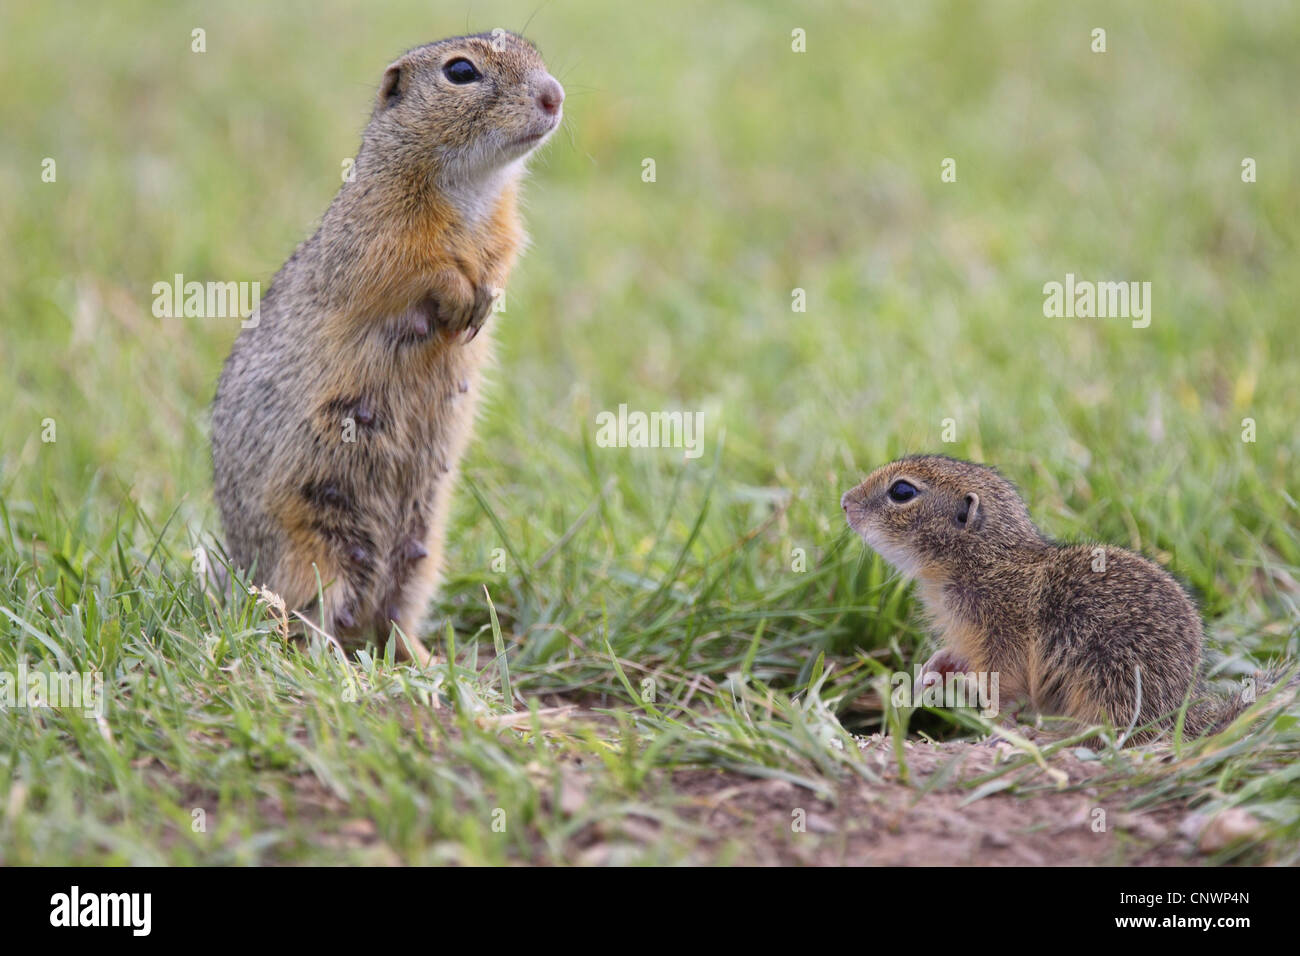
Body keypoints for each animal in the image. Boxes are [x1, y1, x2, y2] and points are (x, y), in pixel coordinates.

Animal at [211, 32, 564, 662]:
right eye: (461, 72)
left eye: (535, 50)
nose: (555, 96)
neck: (472, 187)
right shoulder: (380, 232)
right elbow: (417, 270)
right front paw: (459, 296)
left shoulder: (504, 229)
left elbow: (500, 259)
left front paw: (485, 300)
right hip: (314, 547)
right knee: (310, 618)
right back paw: (338, 664)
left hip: (420, 553)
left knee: (391, 620)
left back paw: (427, 660)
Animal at [842, 454, 1289, 742]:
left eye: (902, 491)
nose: (845, 501)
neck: (981, 563)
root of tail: (1184, 713)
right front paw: (935, 670)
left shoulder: (1002, 633)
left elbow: (1005, 687)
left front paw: (987, 712)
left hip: (1109, 676)